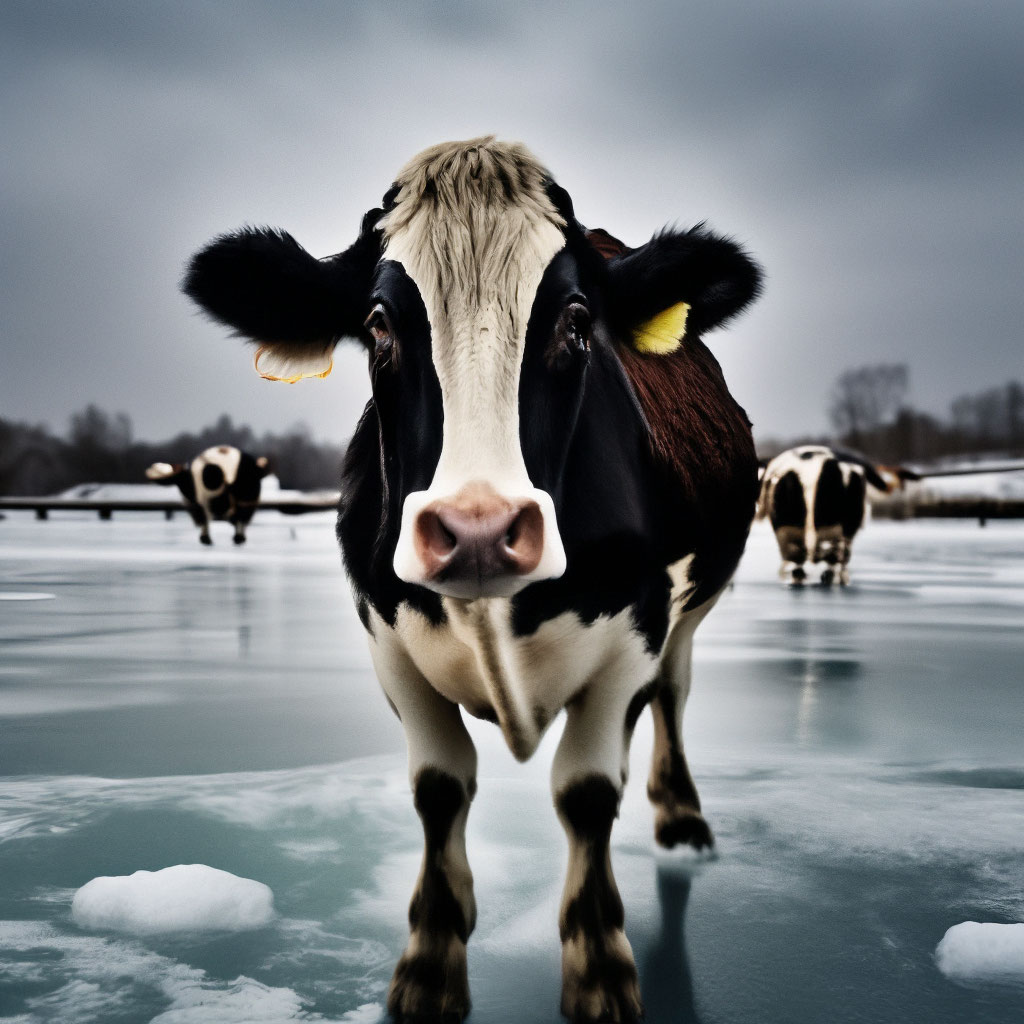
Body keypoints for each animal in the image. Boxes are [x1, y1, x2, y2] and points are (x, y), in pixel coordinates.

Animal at [182, 137, 763, 1024]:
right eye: (379, 324)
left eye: (576, 320)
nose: (480, 530)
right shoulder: (387, 637)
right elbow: (440, 788)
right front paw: (428, 968)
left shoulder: (638, 624)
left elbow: (587, 789)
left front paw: (600, 970)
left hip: (688, 614)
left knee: (672, 691)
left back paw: (682, 817)